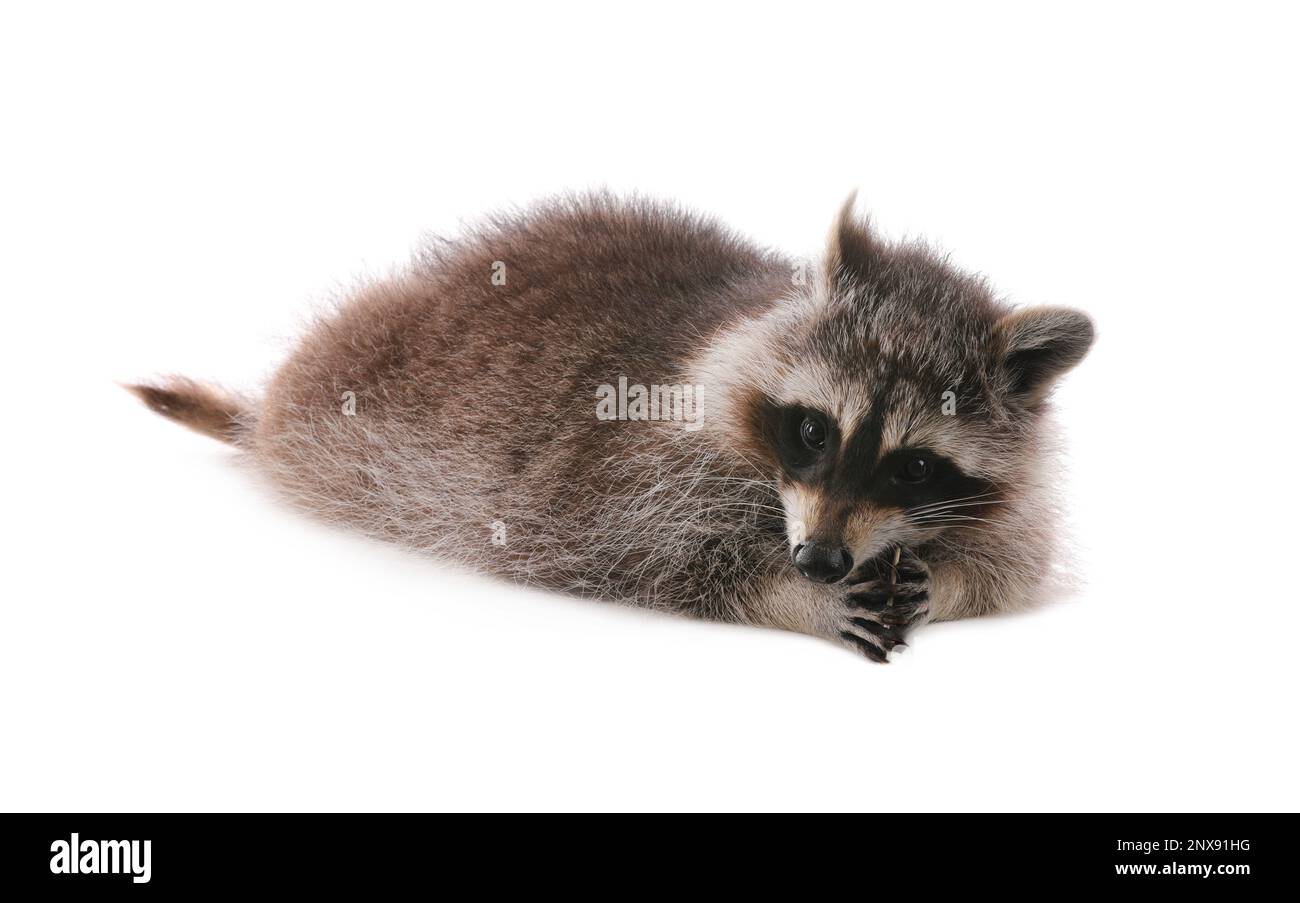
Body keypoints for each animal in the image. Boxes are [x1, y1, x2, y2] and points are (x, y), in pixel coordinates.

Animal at [129, 193, 1093, 662]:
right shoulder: (630, 472)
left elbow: (1020, 556)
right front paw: (791, 596)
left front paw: (953, 576)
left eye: (914, 467)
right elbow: (654, 564)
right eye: (814, 430)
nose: (818, 559)